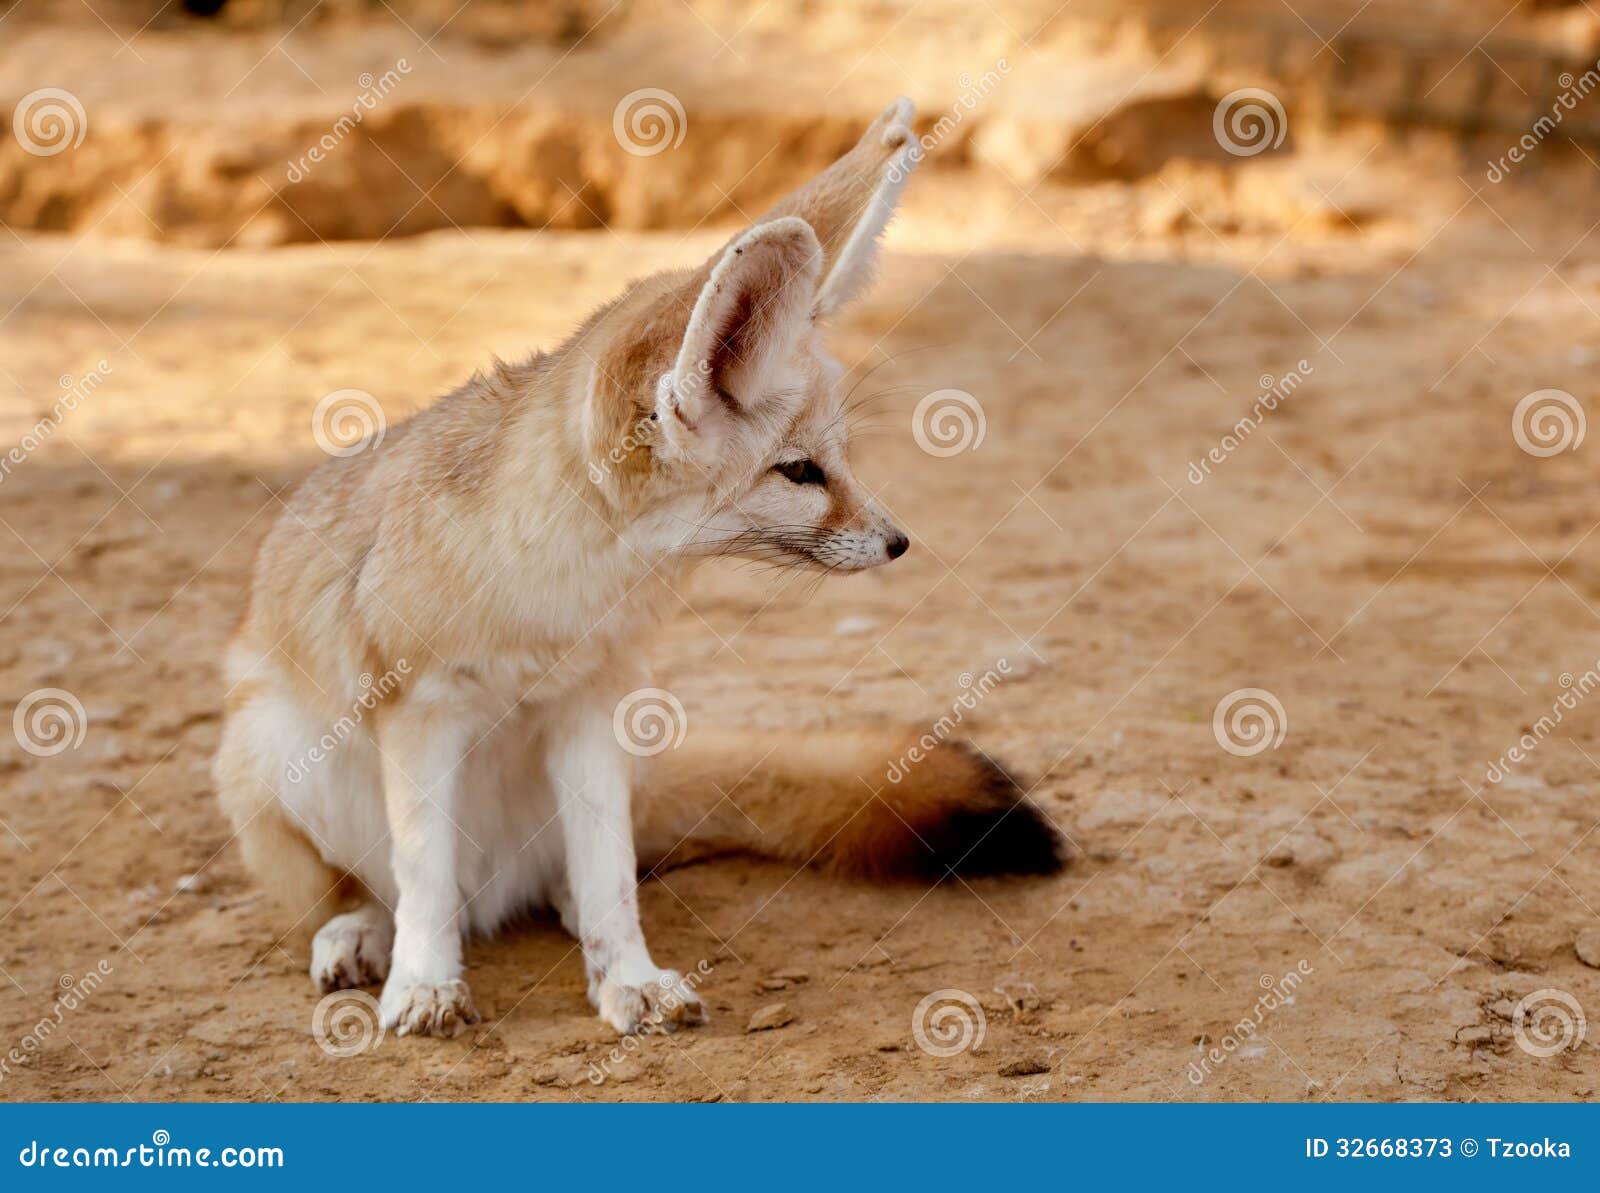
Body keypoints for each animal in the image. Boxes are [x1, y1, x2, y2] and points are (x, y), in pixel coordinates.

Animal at [213, 97, 1065, 1041]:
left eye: (835, 461)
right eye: (800, 472)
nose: (898, 542)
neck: (555, 595)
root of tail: (493, 890)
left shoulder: (592, 702)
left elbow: (610, 870)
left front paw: (628, 977)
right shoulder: (419, 712)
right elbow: (424, 877)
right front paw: (426, 984)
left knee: (580, 870)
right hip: (277, 753)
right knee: (384, 891)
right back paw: (362, 933)